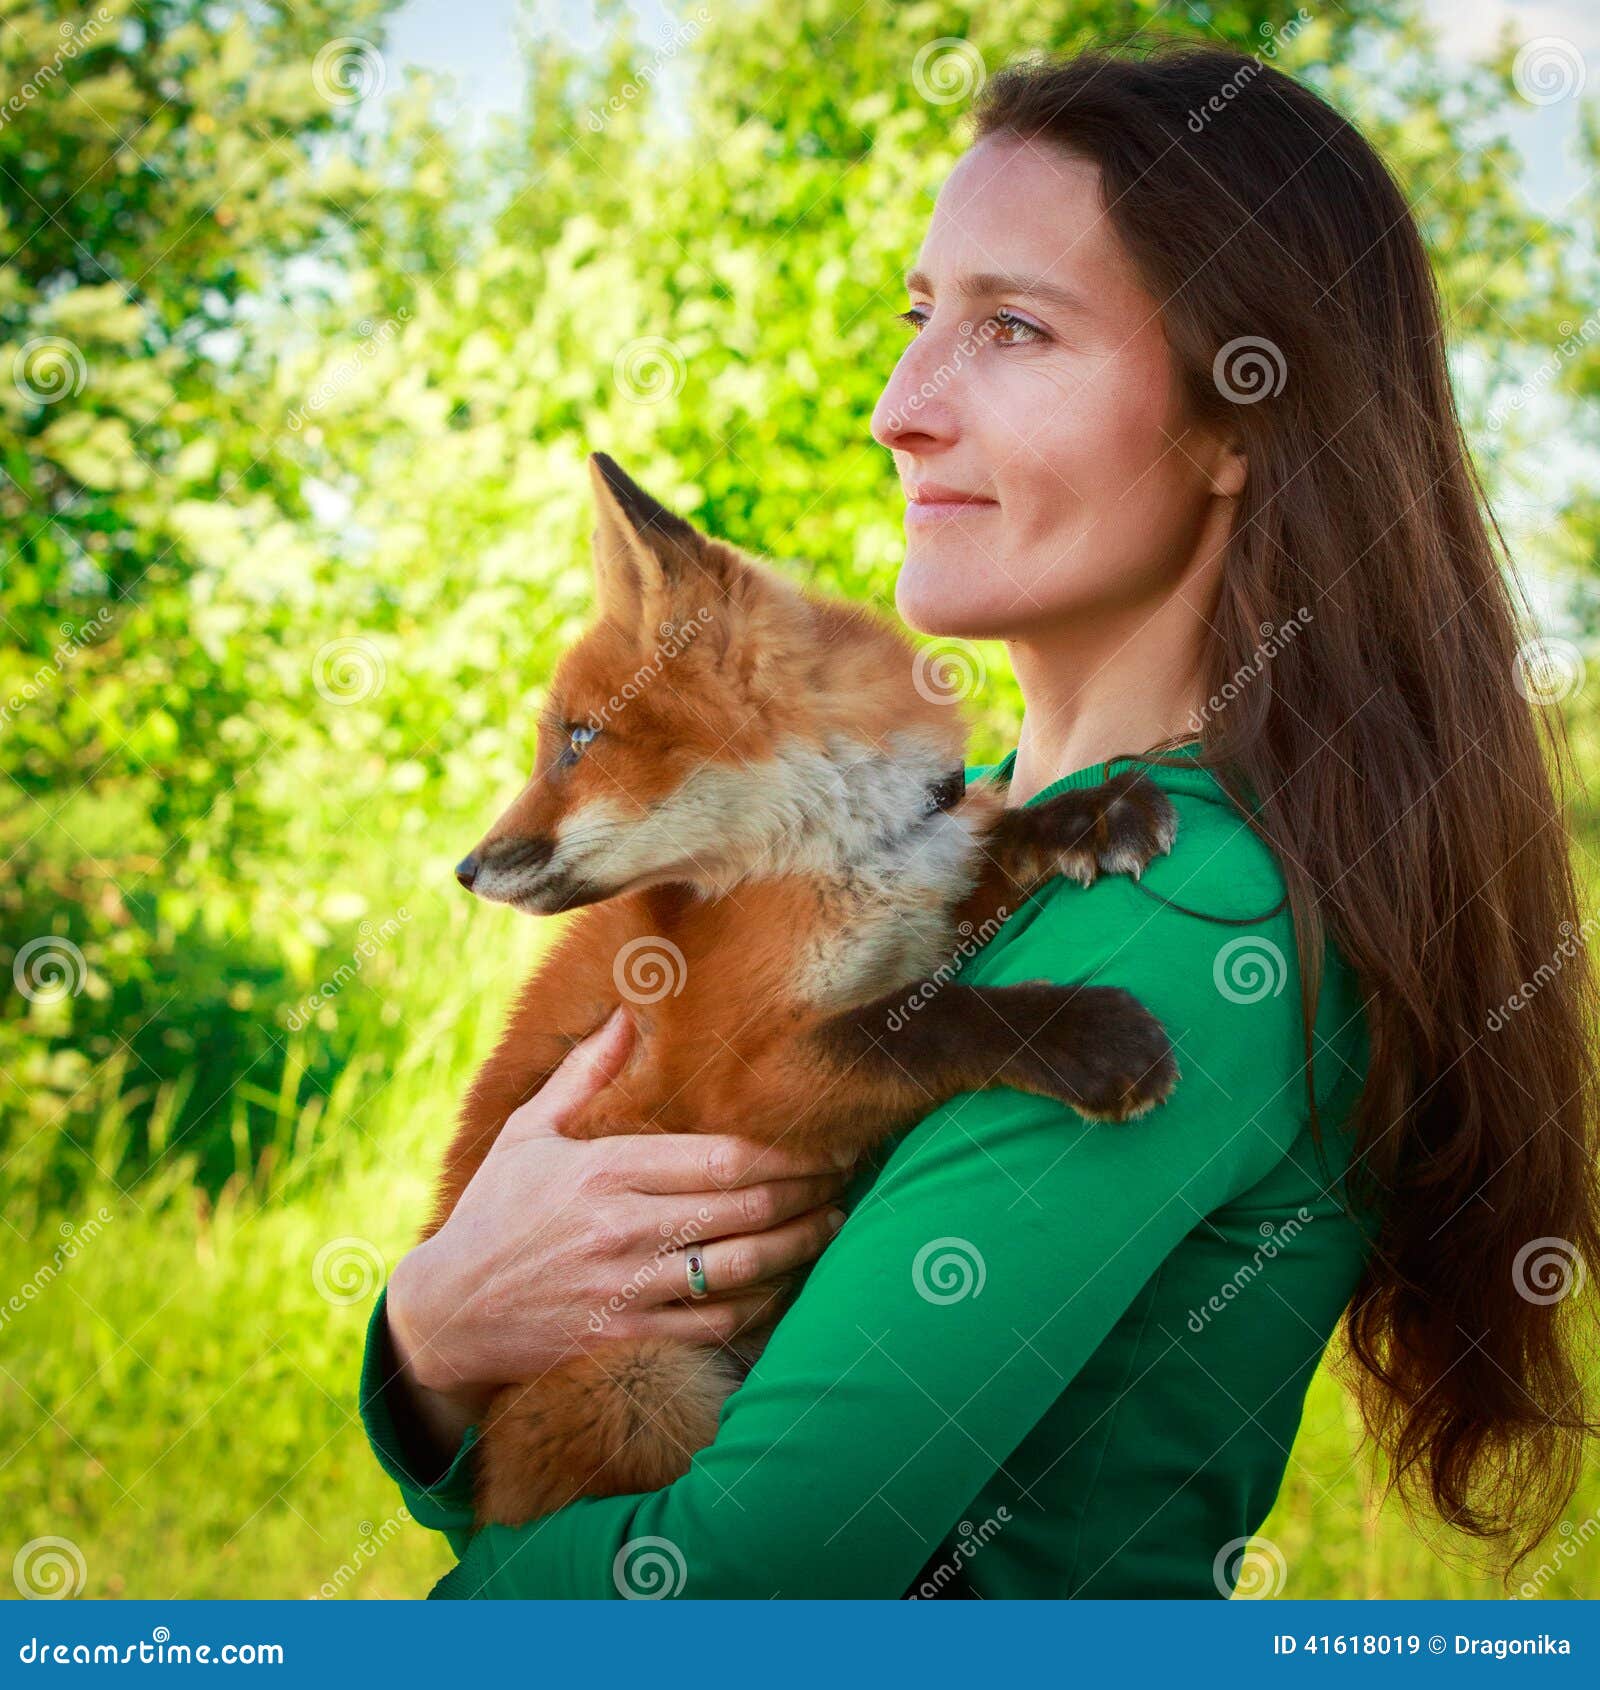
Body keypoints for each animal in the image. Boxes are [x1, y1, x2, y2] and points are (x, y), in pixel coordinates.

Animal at [424, 451, 1181, 1527]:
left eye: (576, 741)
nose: (465, 869)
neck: (835, 852)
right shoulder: (734, 1083)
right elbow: (927, 1024)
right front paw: (1086, 1033)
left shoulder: (928, 884)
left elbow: (990, 841)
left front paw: (1089, 812)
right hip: (642, 1389)